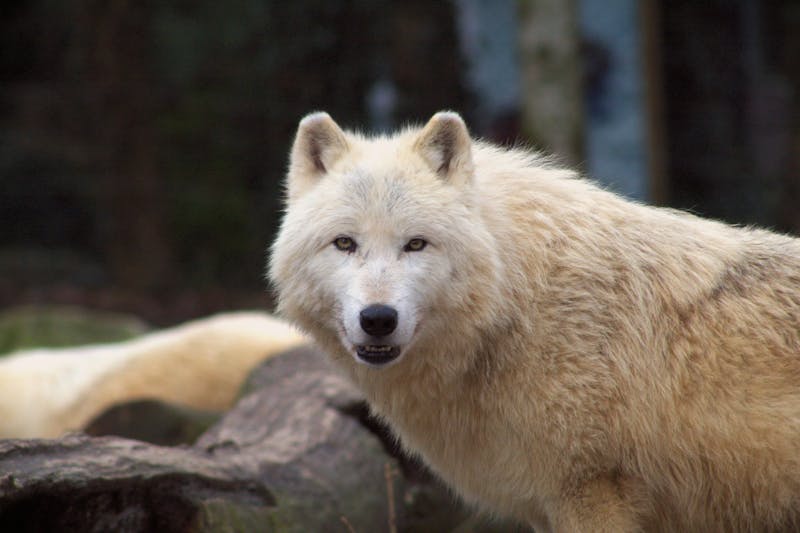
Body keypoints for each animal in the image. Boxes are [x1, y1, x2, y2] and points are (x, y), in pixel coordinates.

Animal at [269, 111, 800, 532]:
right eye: (345, 243)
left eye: (415, 244)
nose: (378, 318)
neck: (518, 303)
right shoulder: (546, 505)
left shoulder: (588, 491)